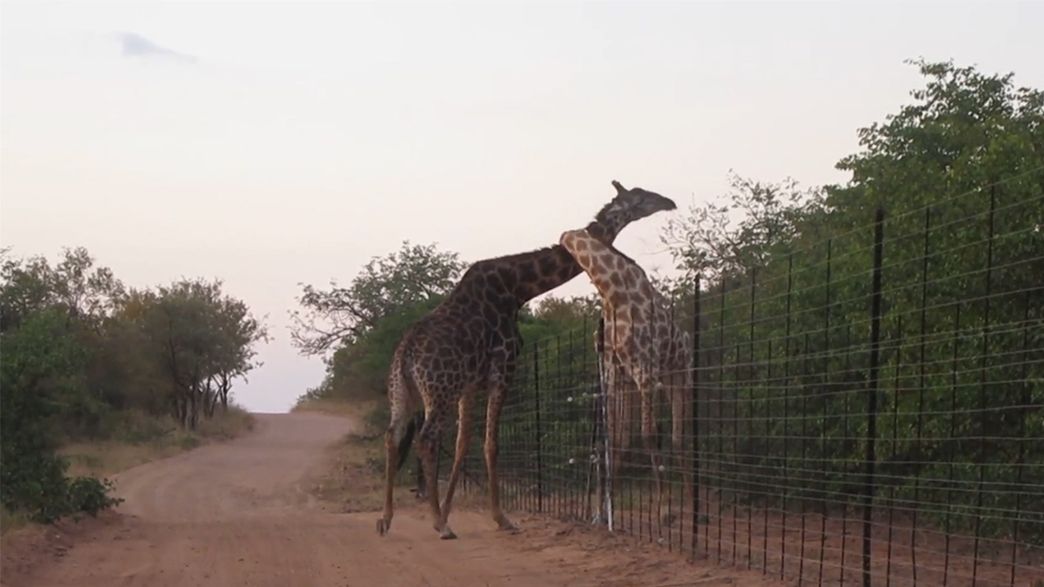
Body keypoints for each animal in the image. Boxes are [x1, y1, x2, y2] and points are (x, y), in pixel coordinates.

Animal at [376, 181, 677, 539]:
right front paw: (500, 518)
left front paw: (450, 510)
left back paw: (387, 519)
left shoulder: (471, 383)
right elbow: (491, 444)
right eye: (642, 197)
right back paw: (439, 525)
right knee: (426, 439)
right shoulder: (504, 366)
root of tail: (405, 354)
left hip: (403, 391)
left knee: (392, 436)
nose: (669, 202)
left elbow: (464, 444)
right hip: (439, 390)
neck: (517, 288)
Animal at [559, 224, 693, 532]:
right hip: (646, 381)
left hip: (681, 375)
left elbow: (650, 434)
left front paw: (664, 512)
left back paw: (697, 510)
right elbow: (615, 441)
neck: (614, 289)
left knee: (680, 436)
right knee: (666, 436)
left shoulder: (646, 370)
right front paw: (602, 512)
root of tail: (687, 339)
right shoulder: (615, 375)